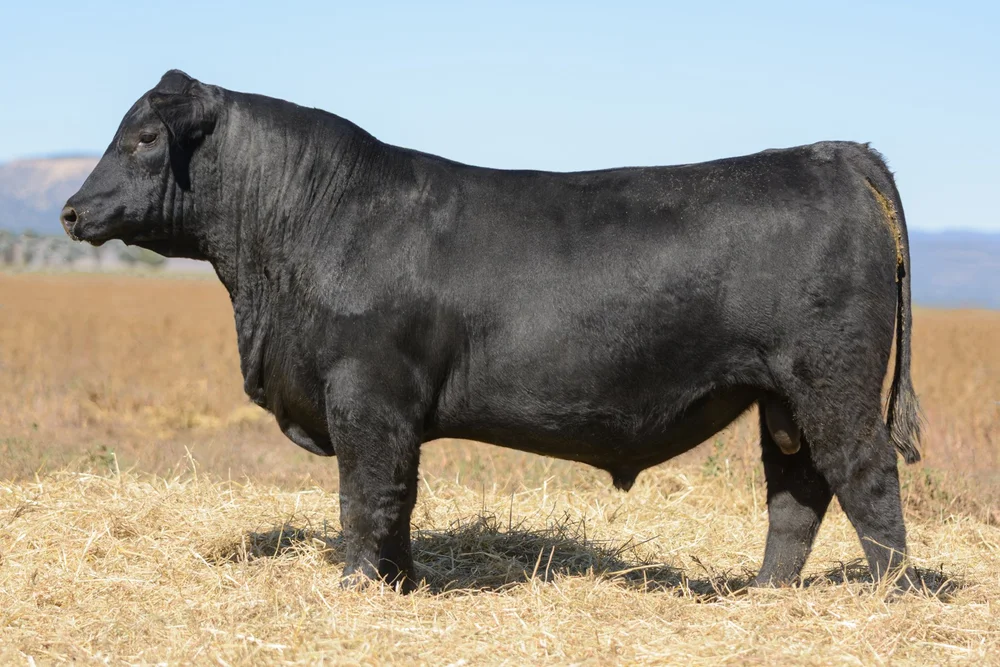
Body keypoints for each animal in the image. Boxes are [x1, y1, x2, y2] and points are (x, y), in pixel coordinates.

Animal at [63, 70, 922, 592]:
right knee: (798, 493)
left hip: (832, 382)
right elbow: (397, 502)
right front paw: (399, 583)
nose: (71, 210)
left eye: (145, 137)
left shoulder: (367, 396)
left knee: (867, 477)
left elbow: (366, 497)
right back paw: (765, 594)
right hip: (781, 397)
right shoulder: (387, 409)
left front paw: (355, 586)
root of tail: (832, 153)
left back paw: (890, 594)